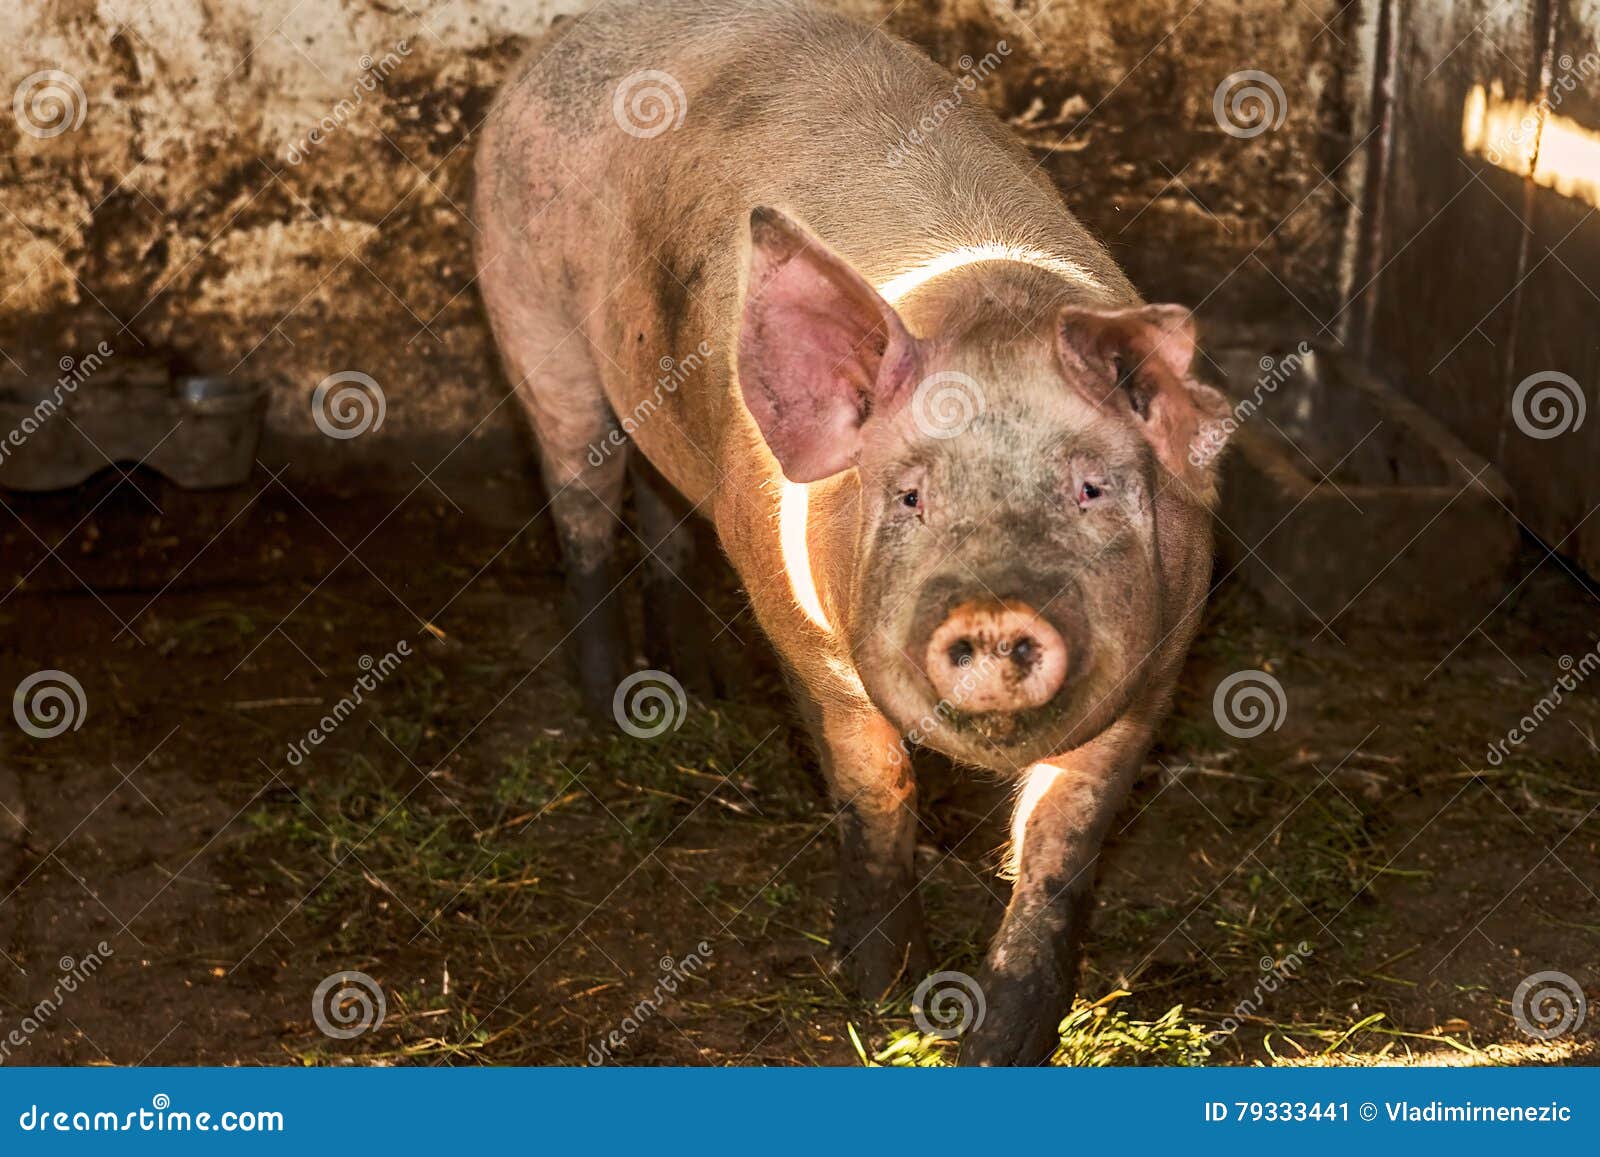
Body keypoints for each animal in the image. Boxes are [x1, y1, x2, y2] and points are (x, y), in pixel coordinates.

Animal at [473, 0, 1231, 1065]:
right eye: (909, 496)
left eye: (1091, 487)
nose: (996, 611)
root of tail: (563, 35)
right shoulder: (805, 634)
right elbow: (876, 788)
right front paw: (880, 992)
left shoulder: (1158, 668)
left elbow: (1059, 849)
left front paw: (1001, 1042)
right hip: (532, 321)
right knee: (581, 507)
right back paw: (609, 704)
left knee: (665, 511)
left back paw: (695, 687)